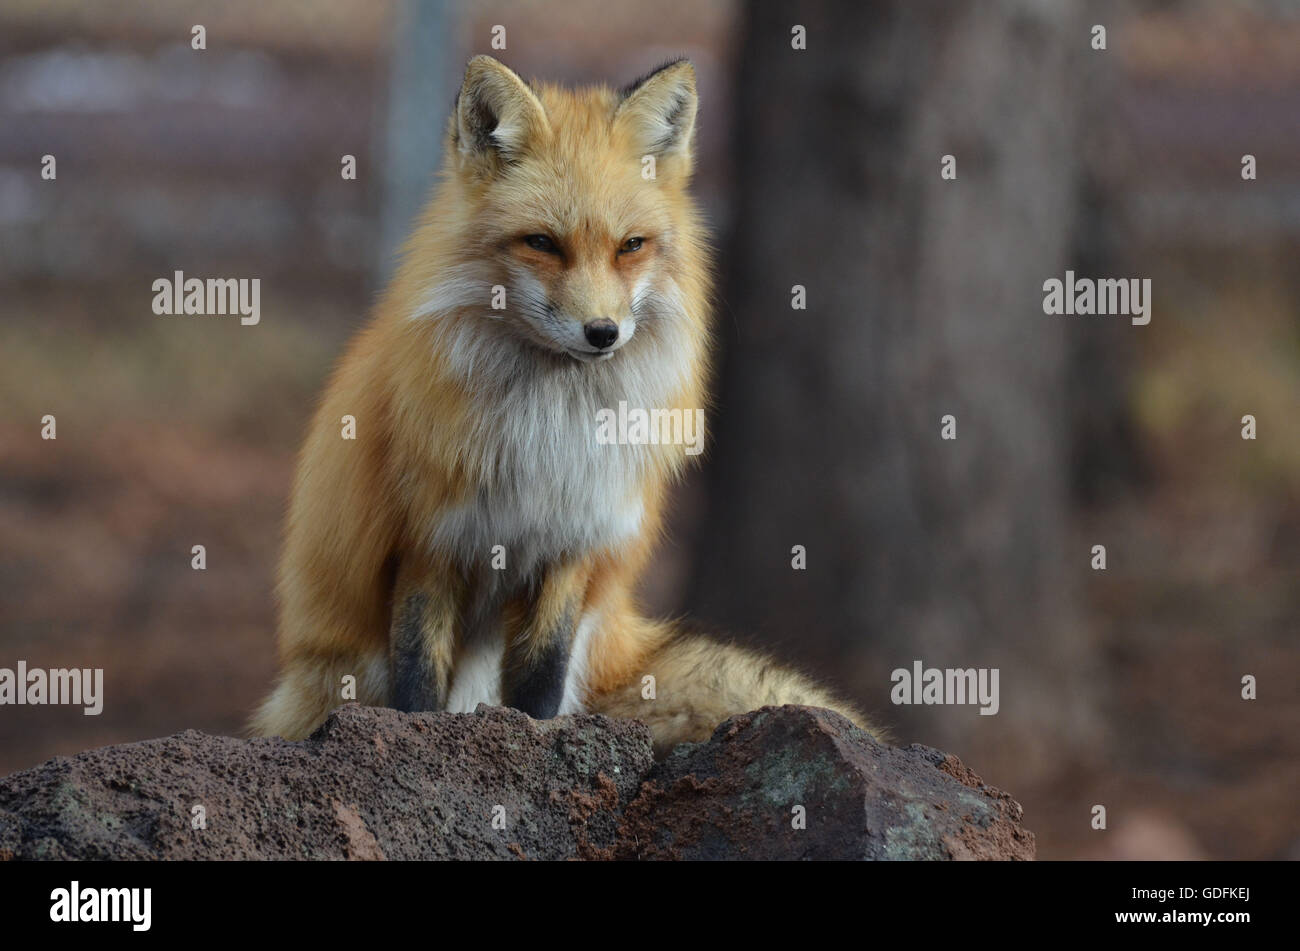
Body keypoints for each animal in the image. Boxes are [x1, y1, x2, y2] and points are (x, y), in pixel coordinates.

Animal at [251, 55, 876, 756]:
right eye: (542, 243)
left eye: (631, 246)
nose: (603, 332)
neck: (551, 426)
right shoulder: (429, 540)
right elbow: (418, 674)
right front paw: (413, 737)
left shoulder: (574, 536)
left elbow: (540, 676)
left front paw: (538, 739)